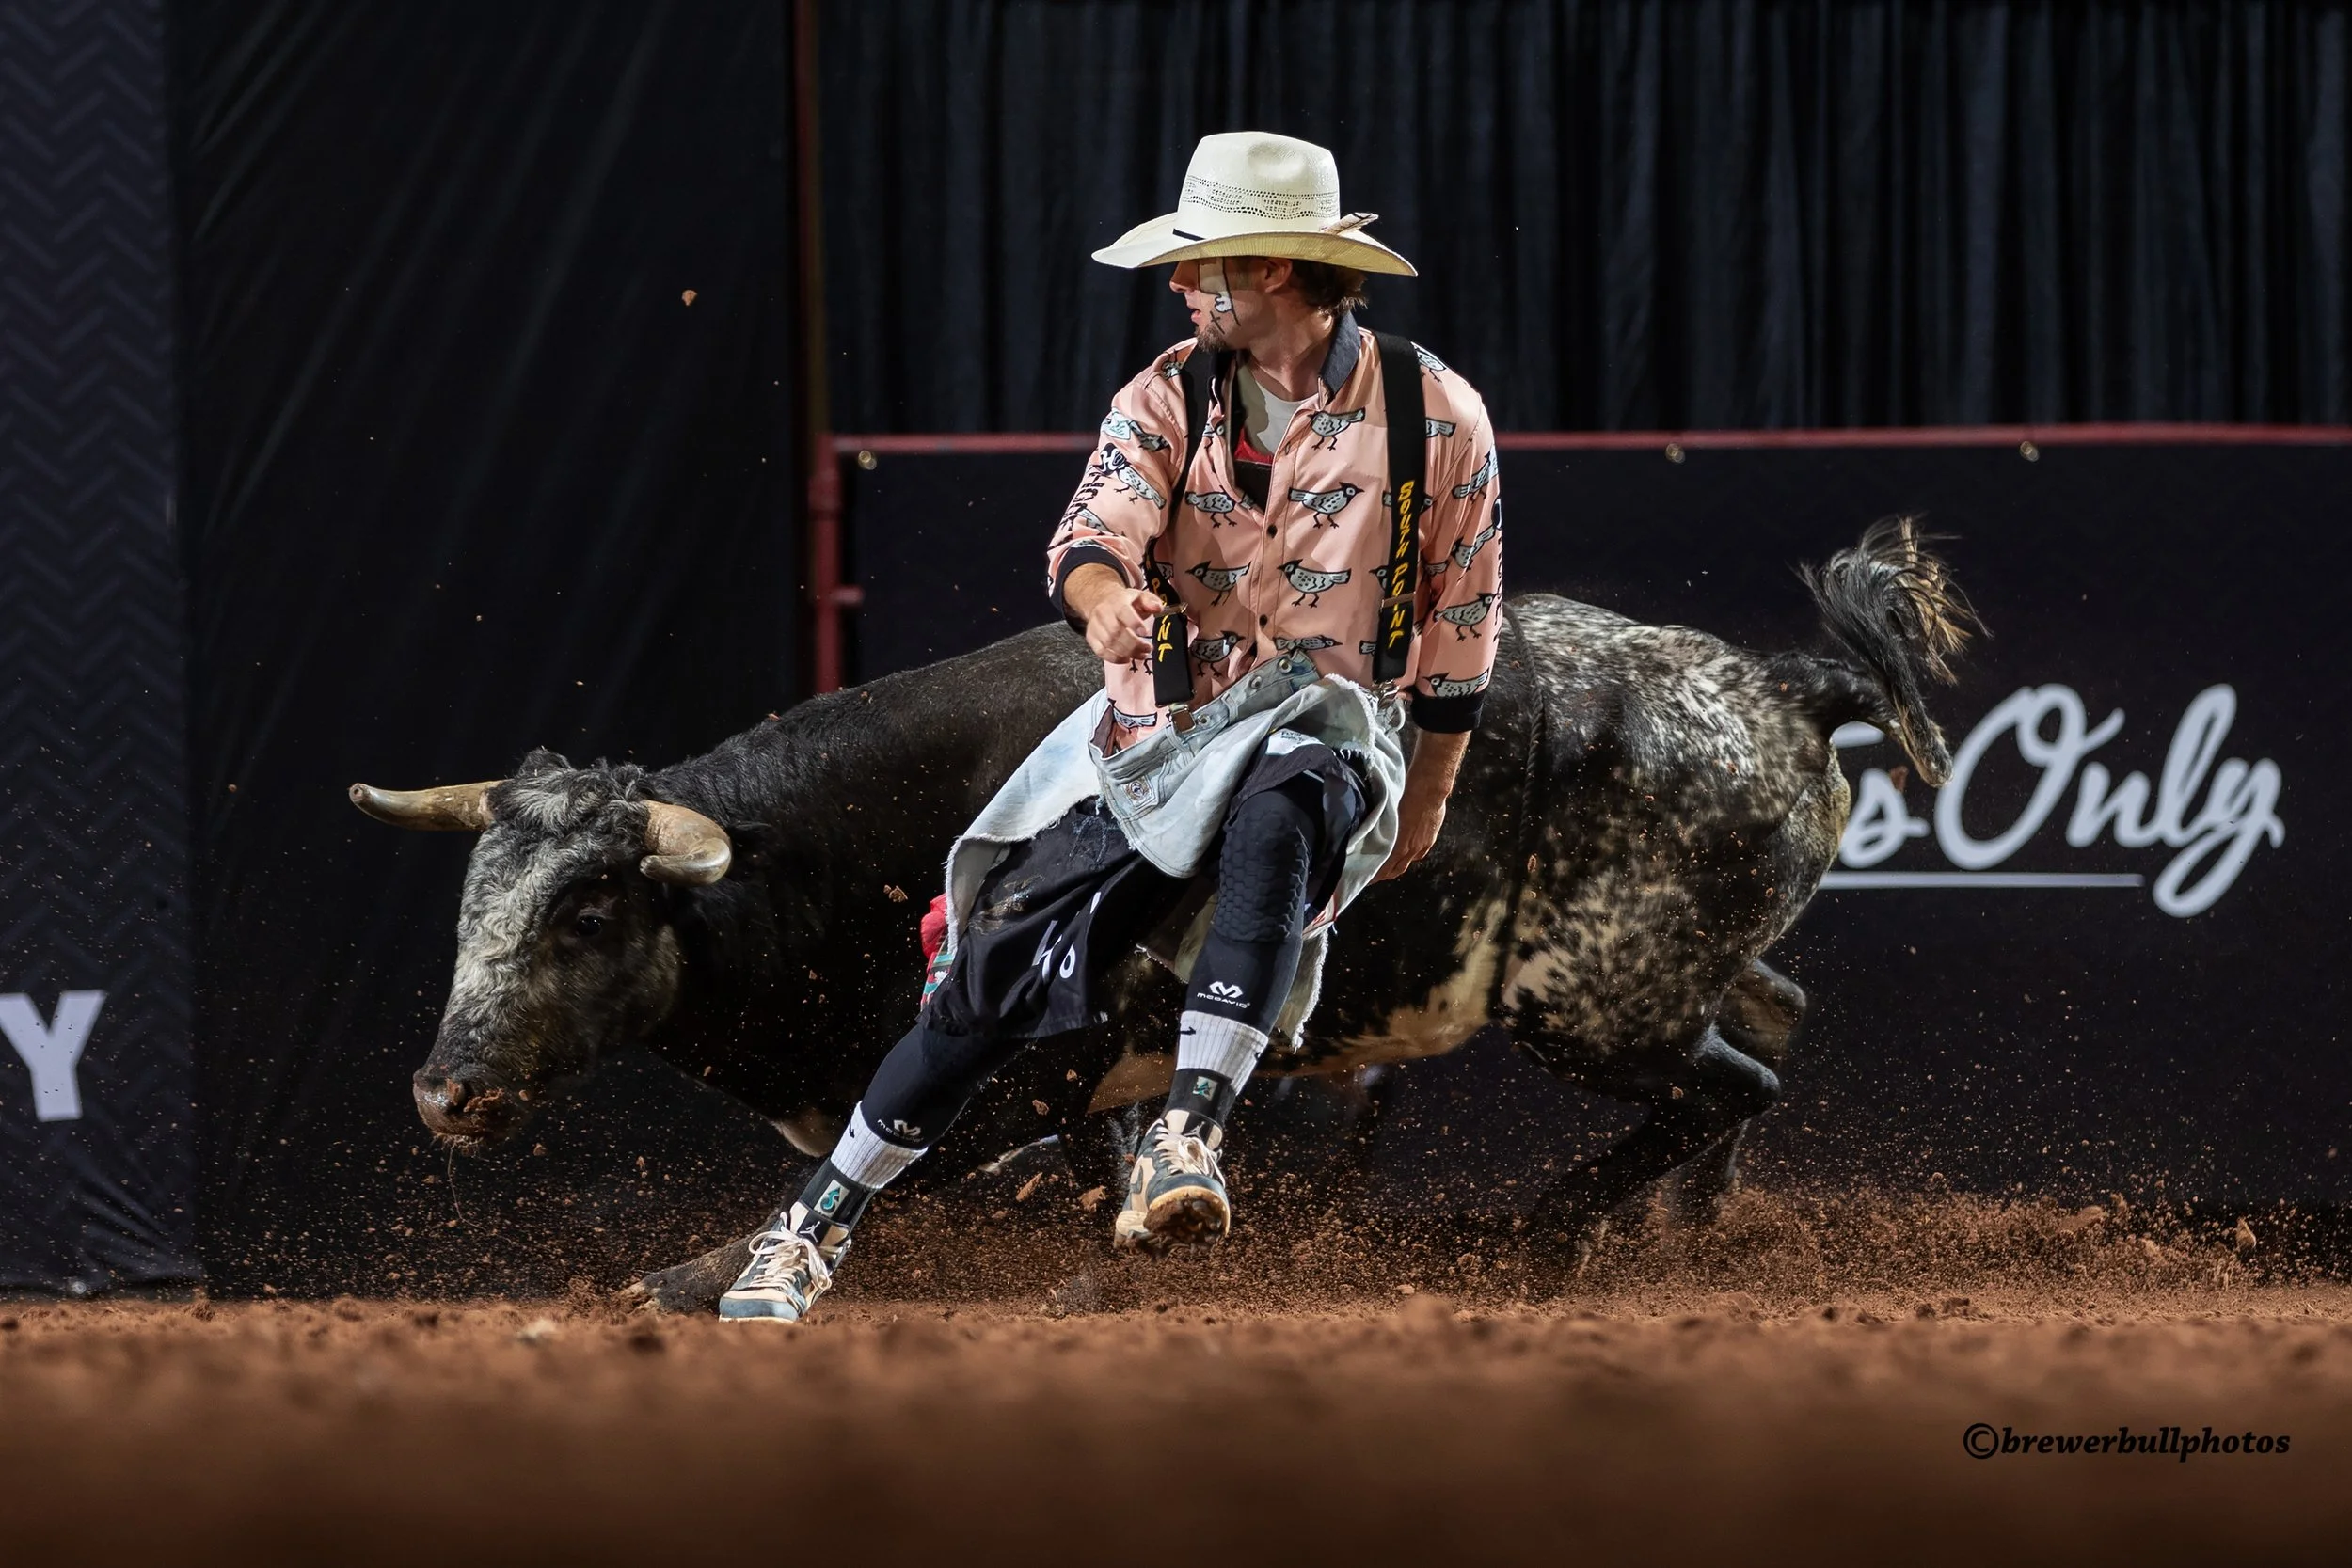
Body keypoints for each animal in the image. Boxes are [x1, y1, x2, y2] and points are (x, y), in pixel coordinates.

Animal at [352, 519, 1972, 1310]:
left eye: (589, 908)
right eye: (473, 905)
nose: (446, 1091)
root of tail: (1781, 685)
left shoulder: (1034, 1055)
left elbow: (940, 1154)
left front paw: (691, 1275)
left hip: (1591, 1001)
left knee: (1731, 1078)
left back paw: (1526, 1240)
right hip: (1665, 972)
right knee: (1773, 1017)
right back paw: (1687, 1227)